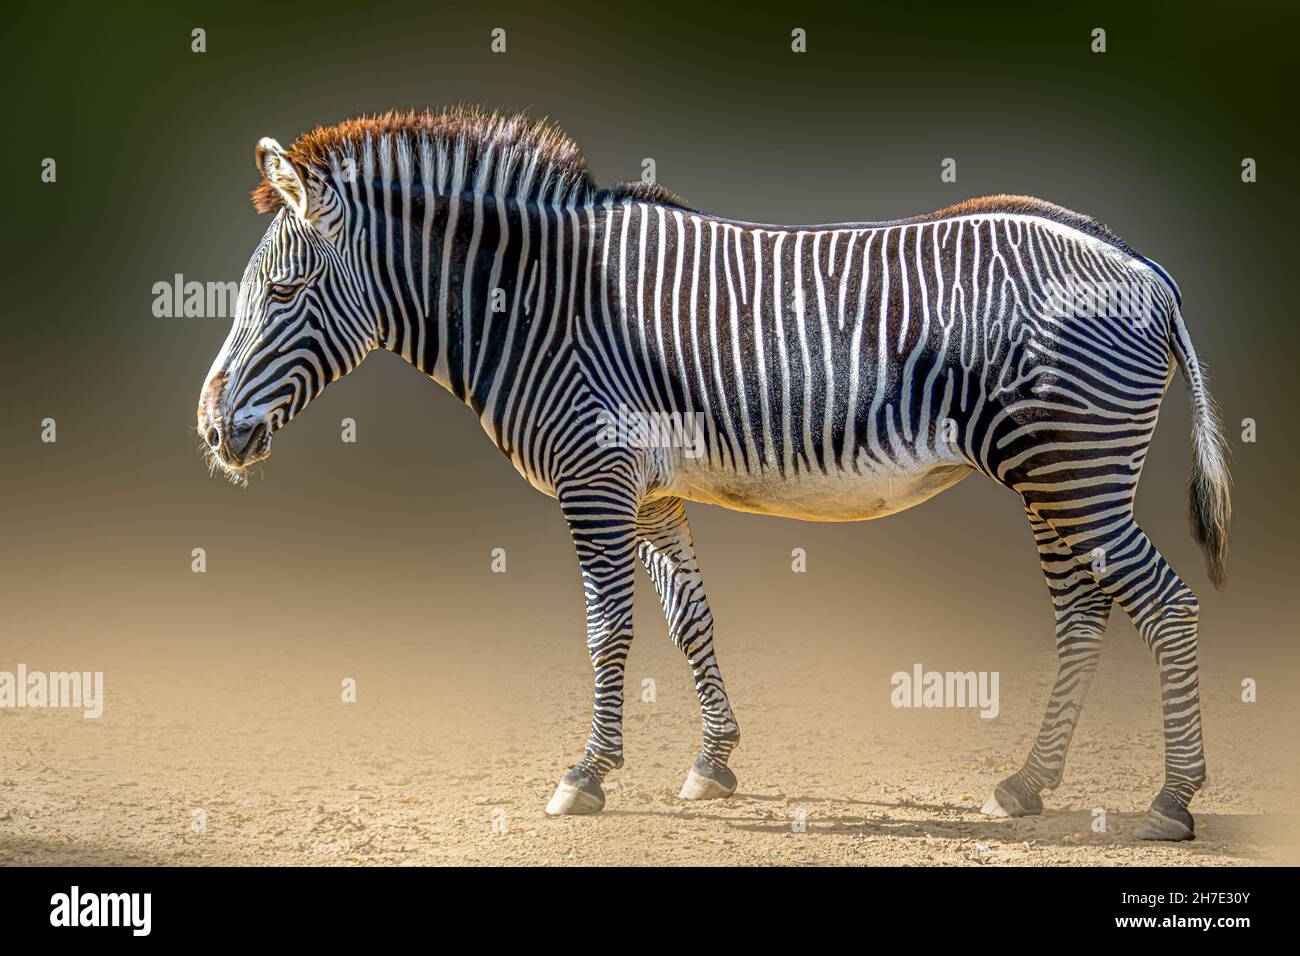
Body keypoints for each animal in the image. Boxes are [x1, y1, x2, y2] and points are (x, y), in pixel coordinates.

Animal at [197, 108, 1230, 841]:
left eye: (281, 293)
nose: (208, 431)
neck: (533, 306)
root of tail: (1145, 264)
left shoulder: (595, 478)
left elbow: (607, 629)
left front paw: (586, 776)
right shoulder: (651, 492)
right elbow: (689, 617)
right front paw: (714, 763)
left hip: (1075, 470)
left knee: (1168, 606)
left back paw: (1172, 801)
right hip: (1055, 480)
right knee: (1083, 616)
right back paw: (1026, 784)